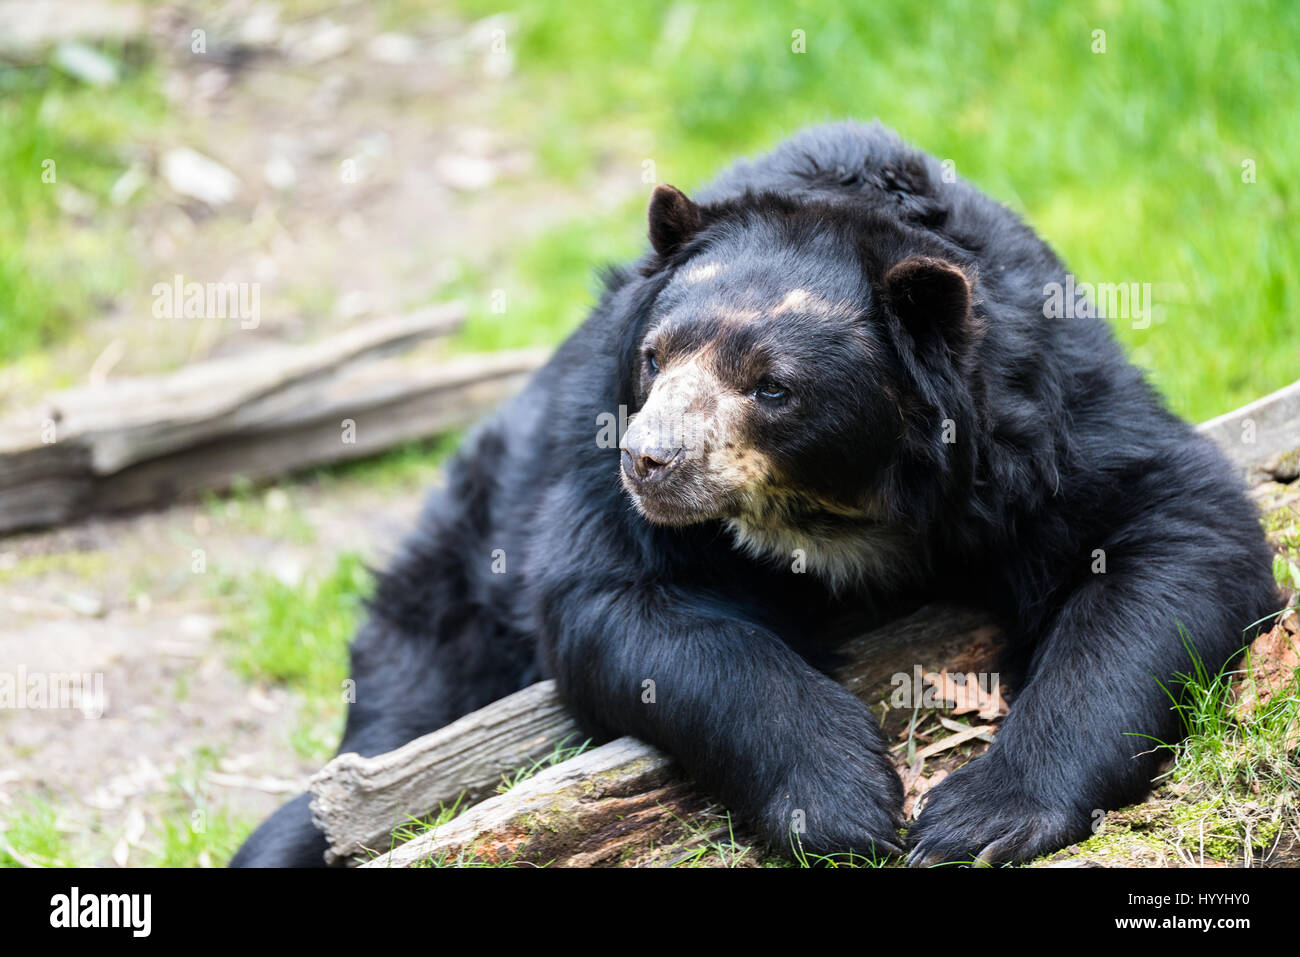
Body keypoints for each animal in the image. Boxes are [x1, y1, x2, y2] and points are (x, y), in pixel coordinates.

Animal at [231, 121, 1277, 867]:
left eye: (773, 387)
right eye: (655, 359)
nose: (650, 461)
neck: (836, 507)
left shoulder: (1043, 418)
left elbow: (1170, 529)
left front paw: (978, 818)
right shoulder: (597, 461)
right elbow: (632, 606)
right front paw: (847, 800)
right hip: (462, 570)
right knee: (399, 708)